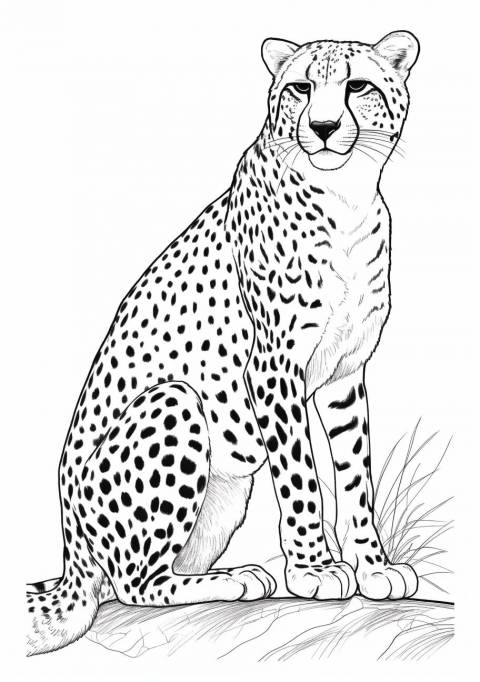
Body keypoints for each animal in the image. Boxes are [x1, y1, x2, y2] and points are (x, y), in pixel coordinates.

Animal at [27, 30, 420, 655]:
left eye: (358, 85)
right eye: (300, 88)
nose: (324, 126)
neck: (346, 198)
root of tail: (71, 560)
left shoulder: (344, 374)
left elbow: (355, 474)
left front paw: (373, 564)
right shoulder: (274, 369)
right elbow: (302, 476)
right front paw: (313, 569)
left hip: (225, 494)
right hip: (176, 401)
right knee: (136, 584)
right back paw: (237, 579)